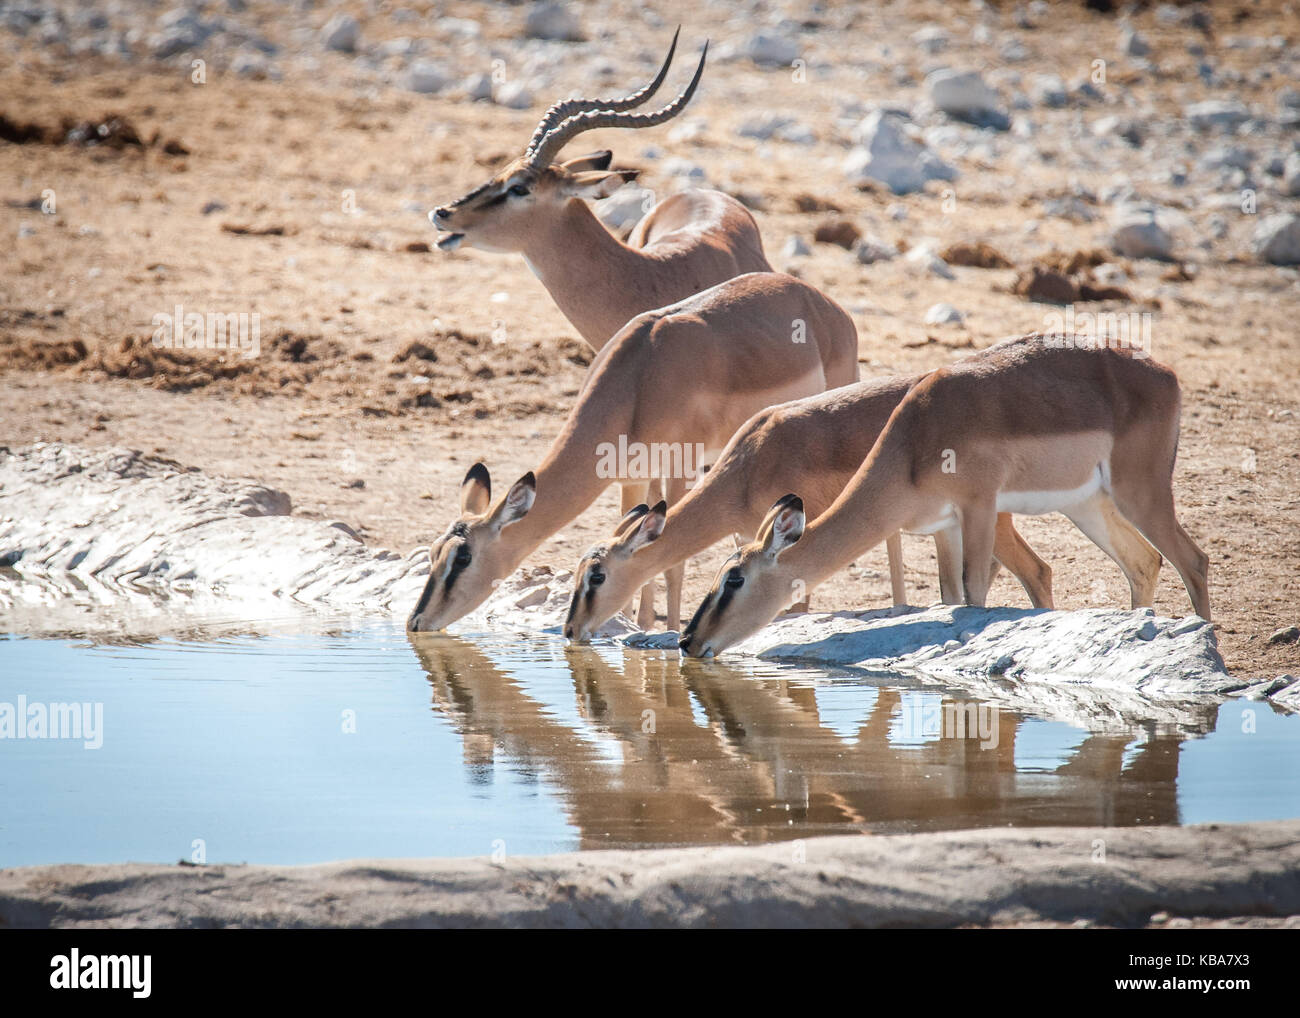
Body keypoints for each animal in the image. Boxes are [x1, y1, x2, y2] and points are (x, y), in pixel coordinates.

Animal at [406, 272, 859, 633]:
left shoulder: (682, 467)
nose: (416, 622)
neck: (640, 375)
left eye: (463, 558)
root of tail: (823, 303)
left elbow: (672, 563)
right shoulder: (633, 475)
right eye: (432, 553)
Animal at [677, 334, 1211, 658]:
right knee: (1143, 562)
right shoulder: (947, 525)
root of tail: (1164, 371)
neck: (915, 439)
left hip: (1140, 492)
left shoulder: (978, 507)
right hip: (1087, 504)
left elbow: (974, 593)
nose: (687, 640)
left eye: (733, 580)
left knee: (1193, 560)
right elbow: (949, 597)